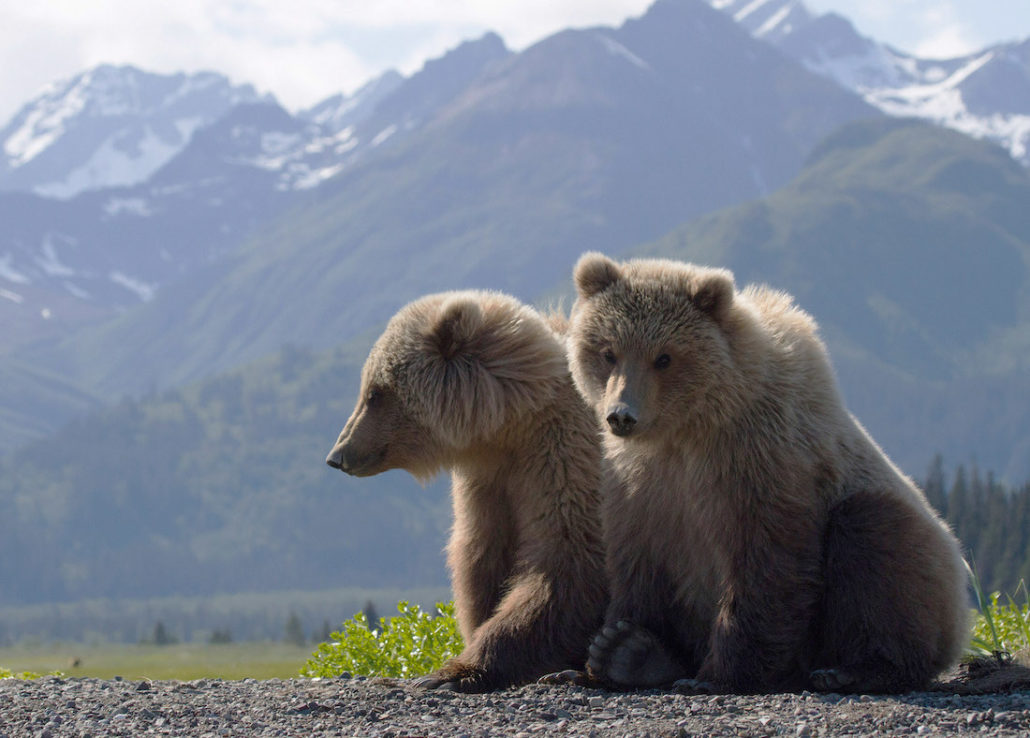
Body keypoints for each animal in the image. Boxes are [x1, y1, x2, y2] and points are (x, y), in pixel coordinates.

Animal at [325, 290, 608, 692]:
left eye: (375, 393)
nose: (338, 455)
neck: (511, 428)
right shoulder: (488, 482)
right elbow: (481, 557)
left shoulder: (565, 458)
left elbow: (565, 560)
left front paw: (451, 672)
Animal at [565, 252, 970, 694]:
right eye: (608, 351)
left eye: (664, 357)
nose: (621, 415)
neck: (685, 431)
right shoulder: (639, 483)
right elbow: (637, 563)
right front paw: (614, 645)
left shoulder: (759, 459)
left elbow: (766, 564)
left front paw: (718, 675)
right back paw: (637, 656)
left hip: (915, 549)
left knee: (877, 542)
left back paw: (856, 669)